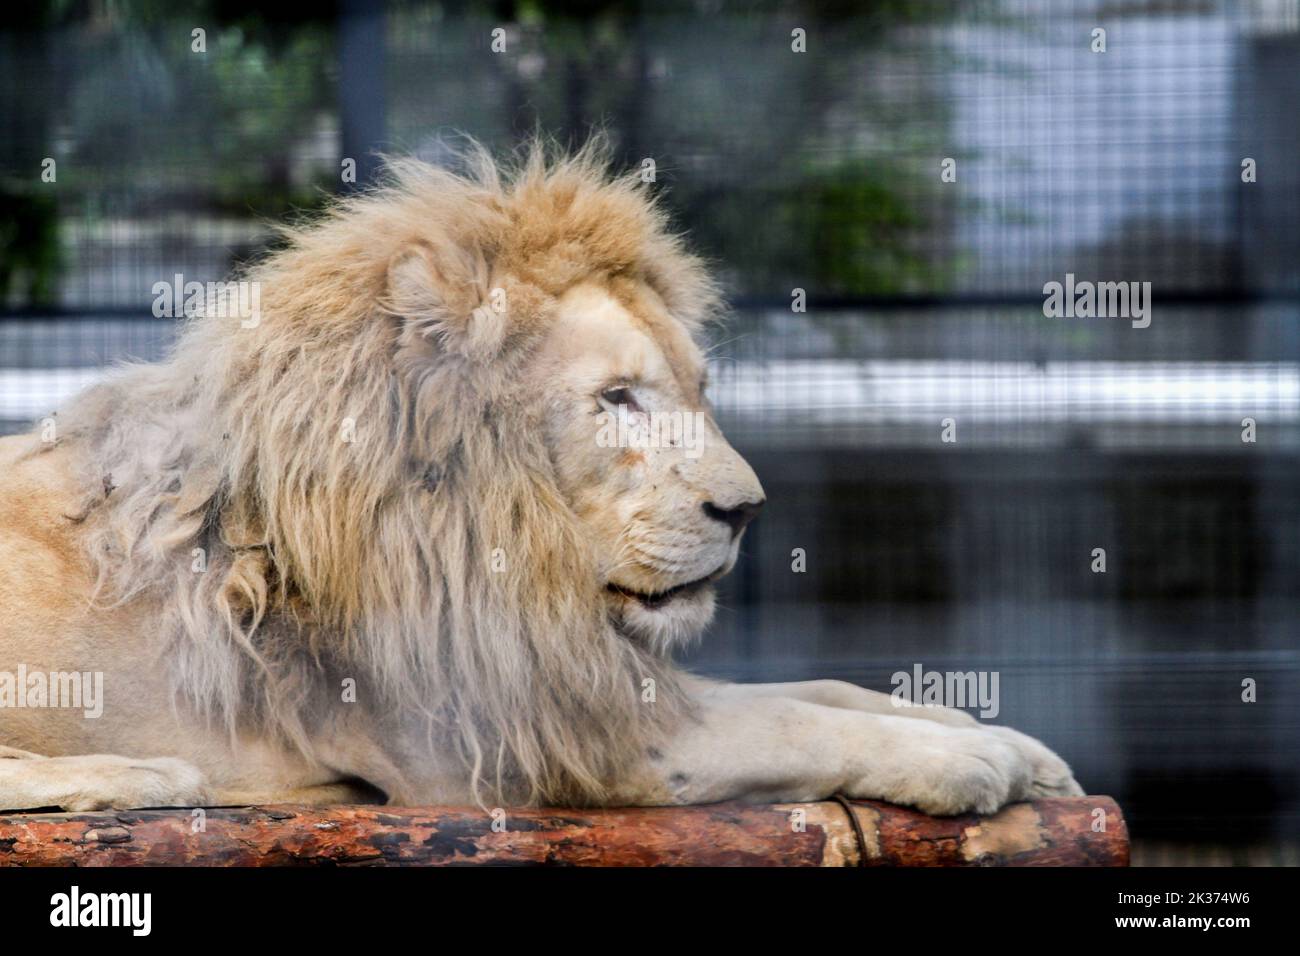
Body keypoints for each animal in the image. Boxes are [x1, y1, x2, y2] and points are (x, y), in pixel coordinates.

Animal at [0, 141, 1082, 814]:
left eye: (699, 387)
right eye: (617, 398)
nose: (745, 511)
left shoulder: (552, 667)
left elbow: (813, 687)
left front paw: (1012, 744)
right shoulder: (499, 731)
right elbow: (785, 718)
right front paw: (966, 756)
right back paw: (137, 775)